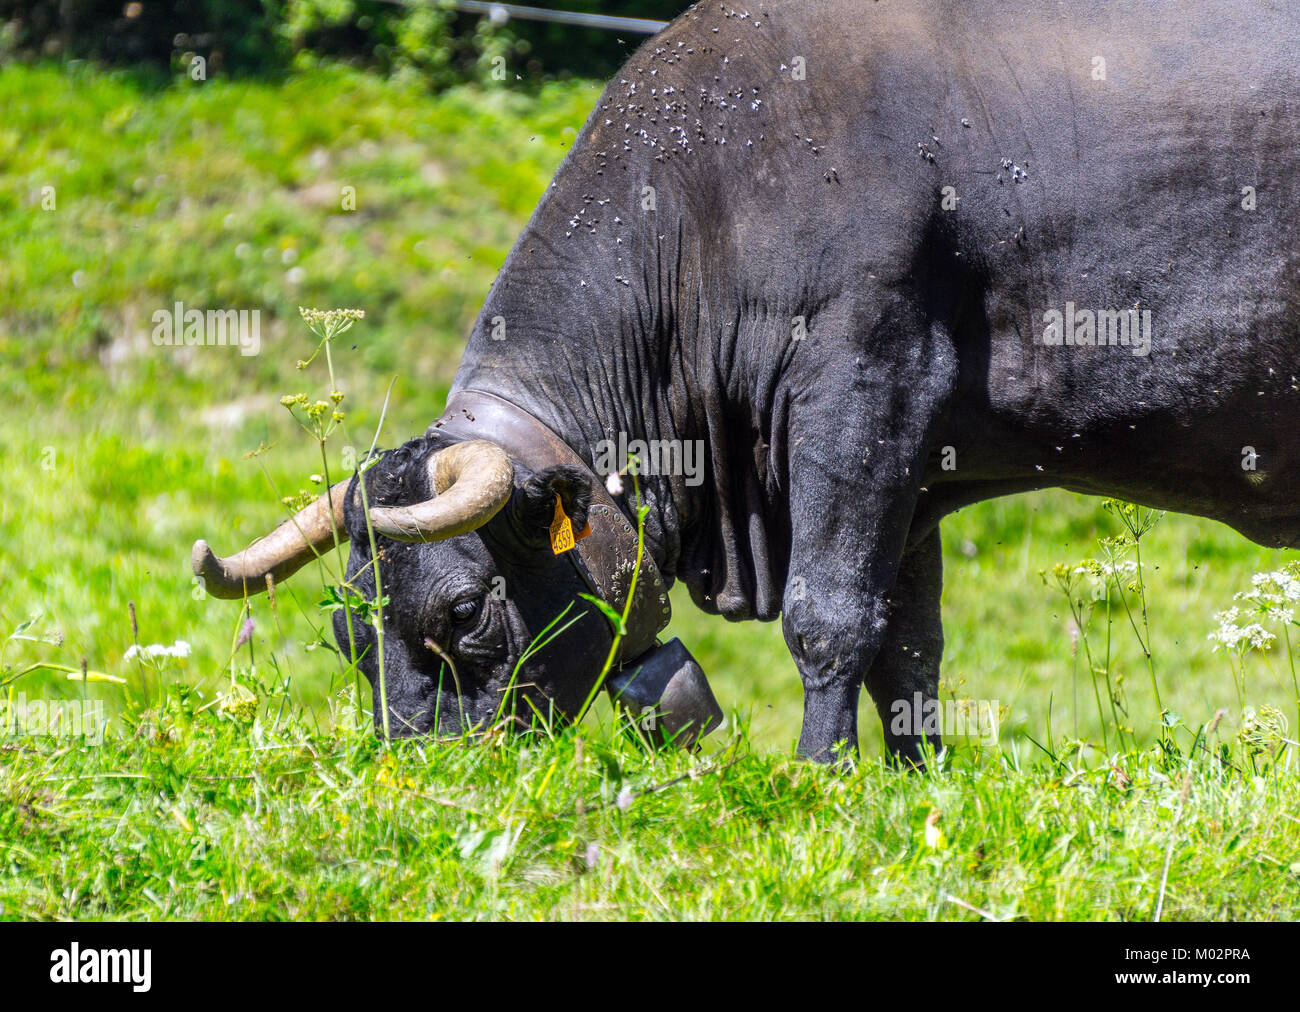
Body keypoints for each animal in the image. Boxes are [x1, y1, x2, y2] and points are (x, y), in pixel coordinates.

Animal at [192, 0, 1300, 764]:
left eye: (462, 612)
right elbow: (908, 644)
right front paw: (917, 783)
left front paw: (820, 774)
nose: (419, 778)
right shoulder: (916, 467)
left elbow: (829, 616)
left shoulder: (864, 388)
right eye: (349, 633)